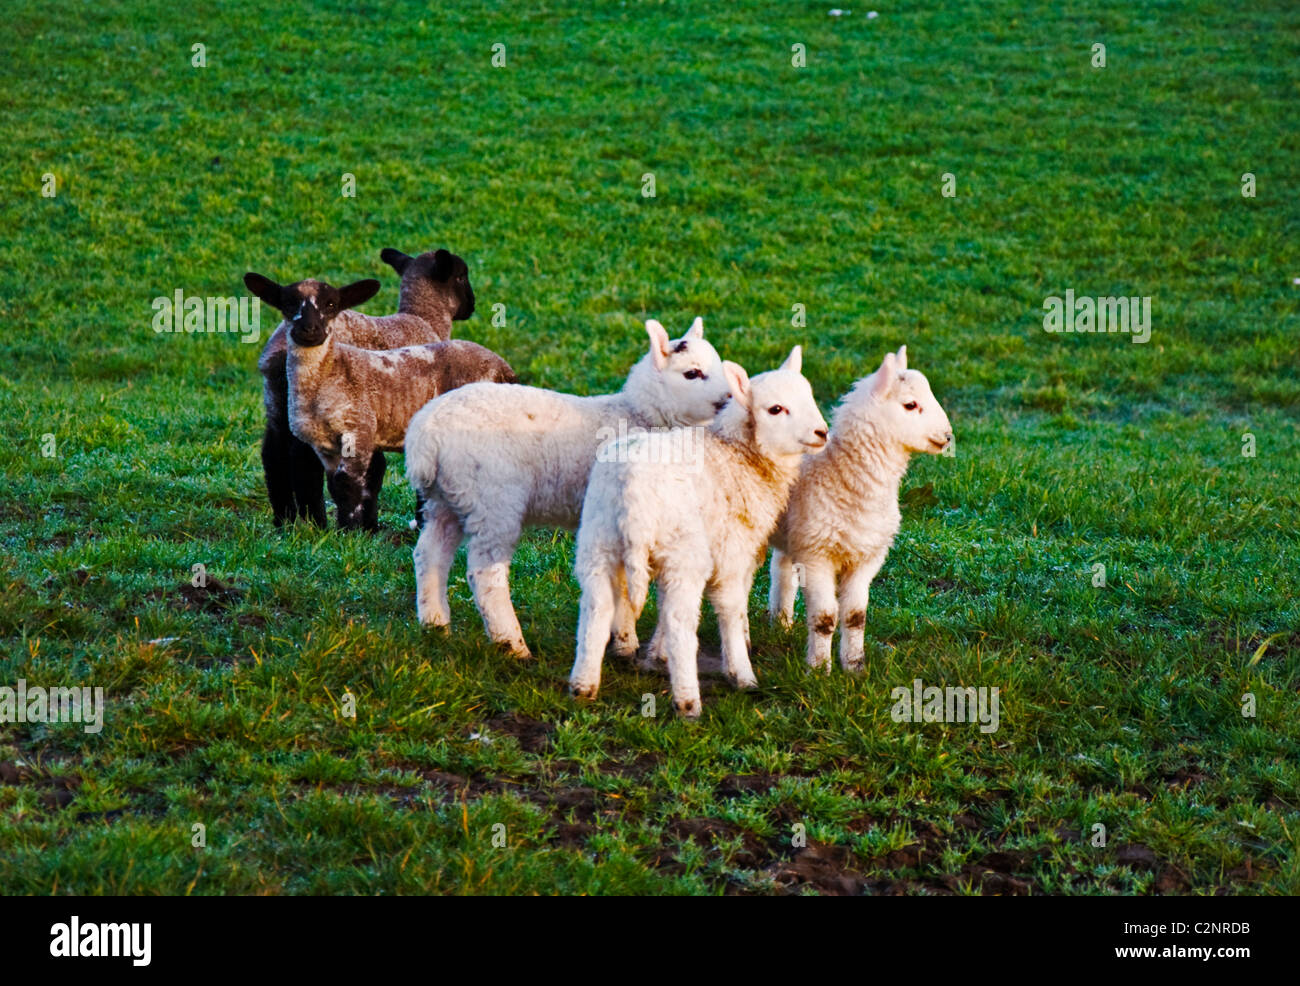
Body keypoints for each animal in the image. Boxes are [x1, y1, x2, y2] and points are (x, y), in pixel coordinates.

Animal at [244, 272, 514, 531]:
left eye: (331, 304)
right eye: (288, 303)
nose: (309, 330)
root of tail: (505, 369)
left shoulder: (359, 432)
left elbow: (349, 484)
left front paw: (351, 532)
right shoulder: (325, 445)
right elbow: (337, 485)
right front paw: (347, 531)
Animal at [405, 317, 731, 658]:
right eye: (692, 373)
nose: (729, 399)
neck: (636, 415)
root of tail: (424, 436)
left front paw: (621, 640)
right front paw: (627, 642)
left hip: (446, 498)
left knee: (429, 554)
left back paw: (435, 626)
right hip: (493, 501)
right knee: (485, 574)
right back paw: (514, 646)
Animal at [570, 348, 829, 719]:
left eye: (809, 397)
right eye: (776, 409)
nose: (822, 433)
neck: (736, 452)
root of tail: (631, 488)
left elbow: (664, 605)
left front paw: (655, 654)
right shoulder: (732, 551)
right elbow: (731, 609)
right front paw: (741, 672)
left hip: (598, 542)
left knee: (596, 608)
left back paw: (583, 686)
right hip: (683, 551)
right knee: (681, 623)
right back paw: (688, 702)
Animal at [768, 346, 953, 672]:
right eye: (910, 405)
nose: (947, 436)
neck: (840, 475)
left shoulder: (867, 557)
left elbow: (855, 616)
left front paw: (855, 667)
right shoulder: (817, 556)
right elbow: (825, 617)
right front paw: (819, 670)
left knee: (781, 569)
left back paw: (781, 623)